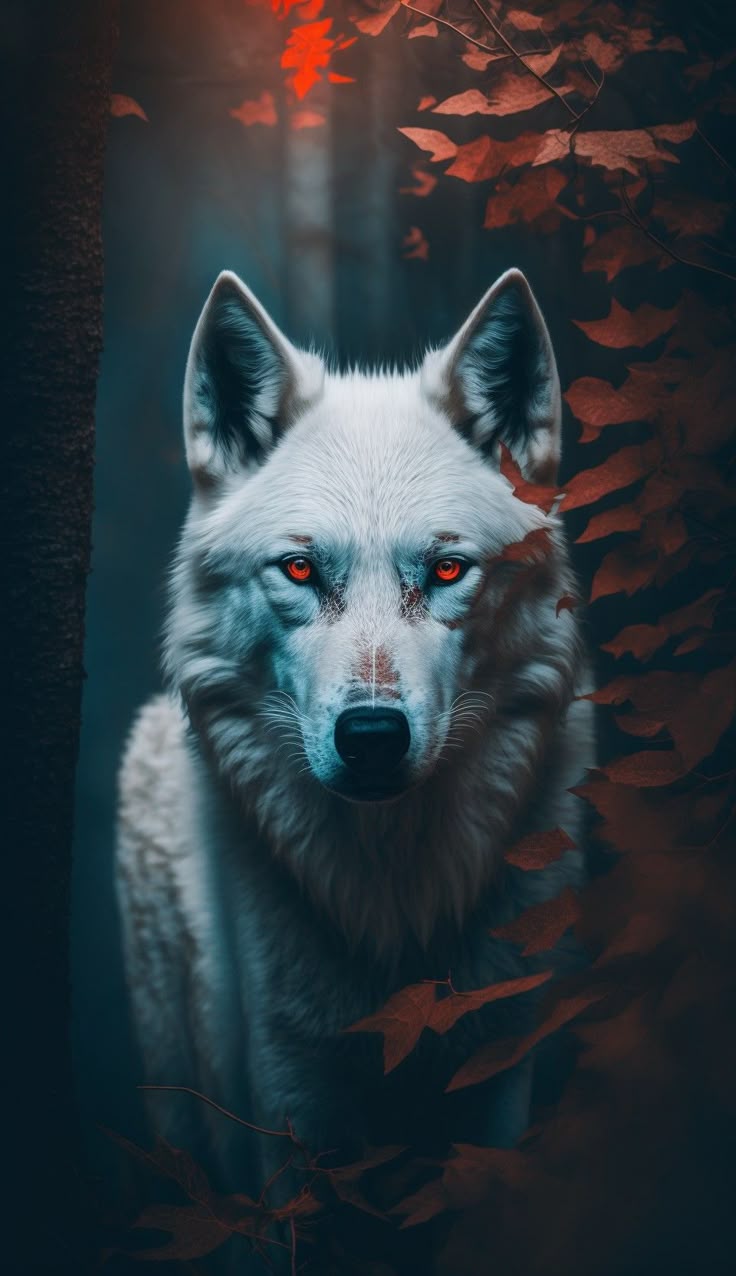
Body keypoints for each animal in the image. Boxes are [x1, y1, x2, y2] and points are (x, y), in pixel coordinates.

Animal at [116, 267, 594, 1255]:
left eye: (447, 571)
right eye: (300, 571)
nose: (372, 736)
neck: (396, 911)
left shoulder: (503, 1076)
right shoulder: (292, 1105)